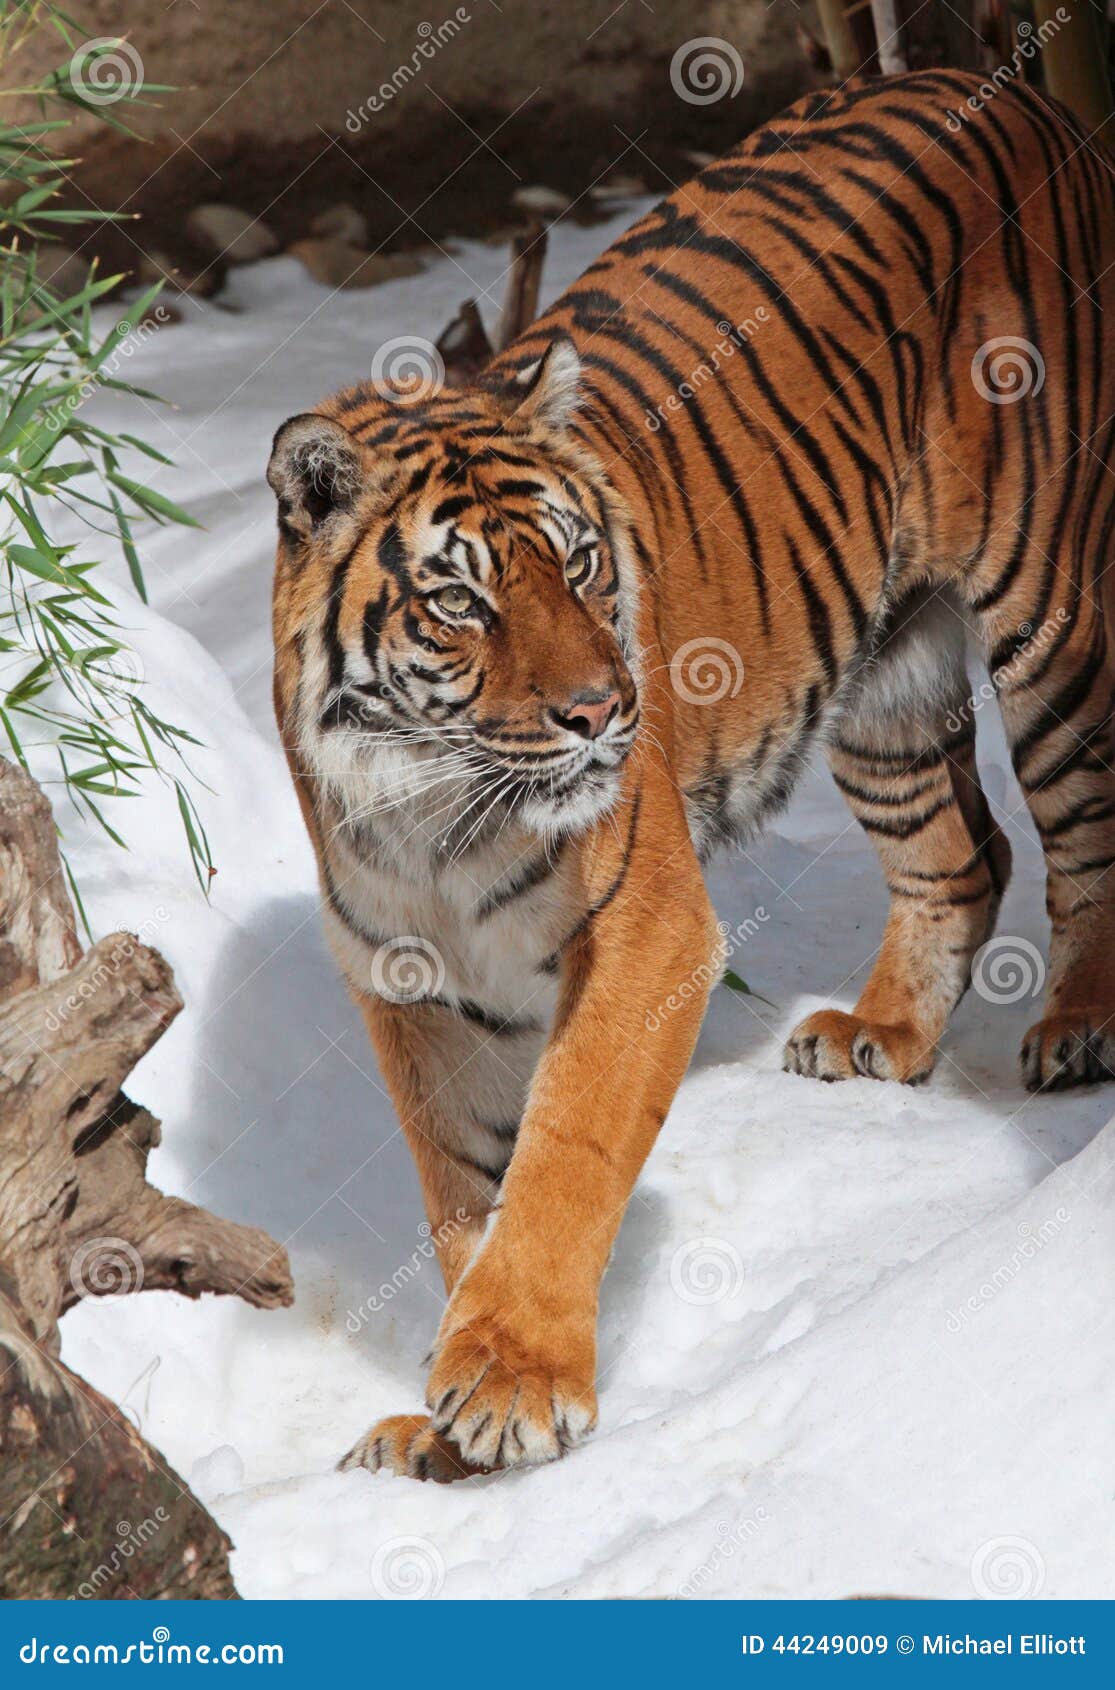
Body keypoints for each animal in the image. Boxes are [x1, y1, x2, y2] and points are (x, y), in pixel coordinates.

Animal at [269, 70, 1115, 1482]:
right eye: (460, 602)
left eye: (578, 565)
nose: (603, 709)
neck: (431, 807)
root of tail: (1005, 87)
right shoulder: (411, 979)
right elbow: (461, 1195)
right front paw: (442, 1423)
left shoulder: (646, 927)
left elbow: (560, 1146)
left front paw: (510, 1382)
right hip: (881, 680)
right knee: (962, 849)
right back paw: (880, 1035)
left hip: (1044, 602)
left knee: (1084, 817)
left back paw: (1079, 1024)